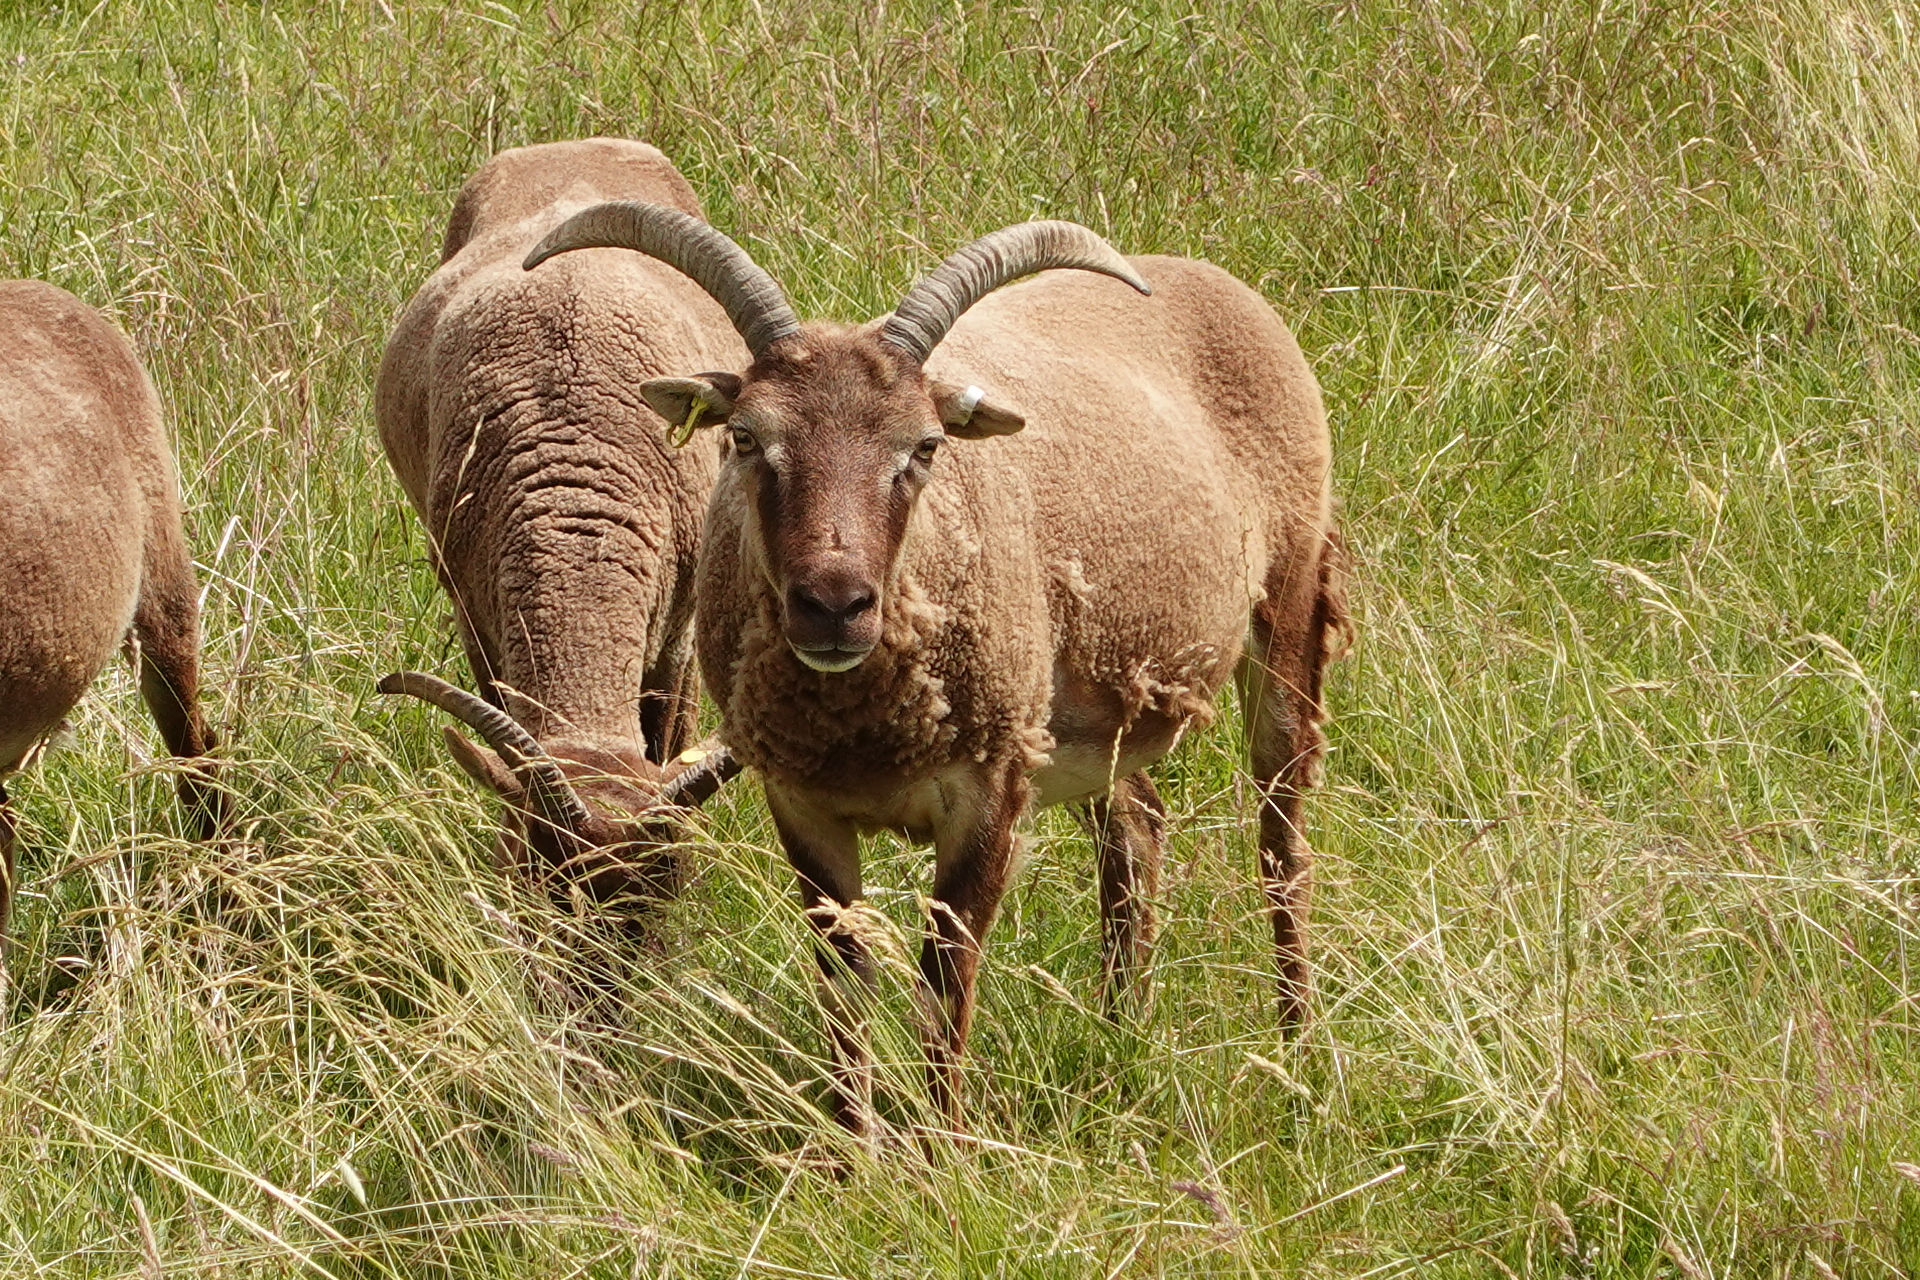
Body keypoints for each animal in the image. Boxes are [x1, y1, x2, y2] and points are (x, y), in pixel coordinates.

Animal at [525, 206, 1350, 1132]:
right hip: (1083, 713)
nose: (835, 604)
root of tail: (1207, 278)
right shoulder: (803, 804)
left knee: (1282, 844)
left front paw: (940, 1147)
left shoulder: (988, 795)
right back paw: (1122, 1032)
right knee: (1137, 831)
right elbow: (842, 979)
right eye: (745, 437)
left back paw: (1296, 1054)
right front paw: (854, 1145)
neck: (864, 730)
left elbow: (944, 978)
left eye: (923, 446)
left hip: (1288, 602)